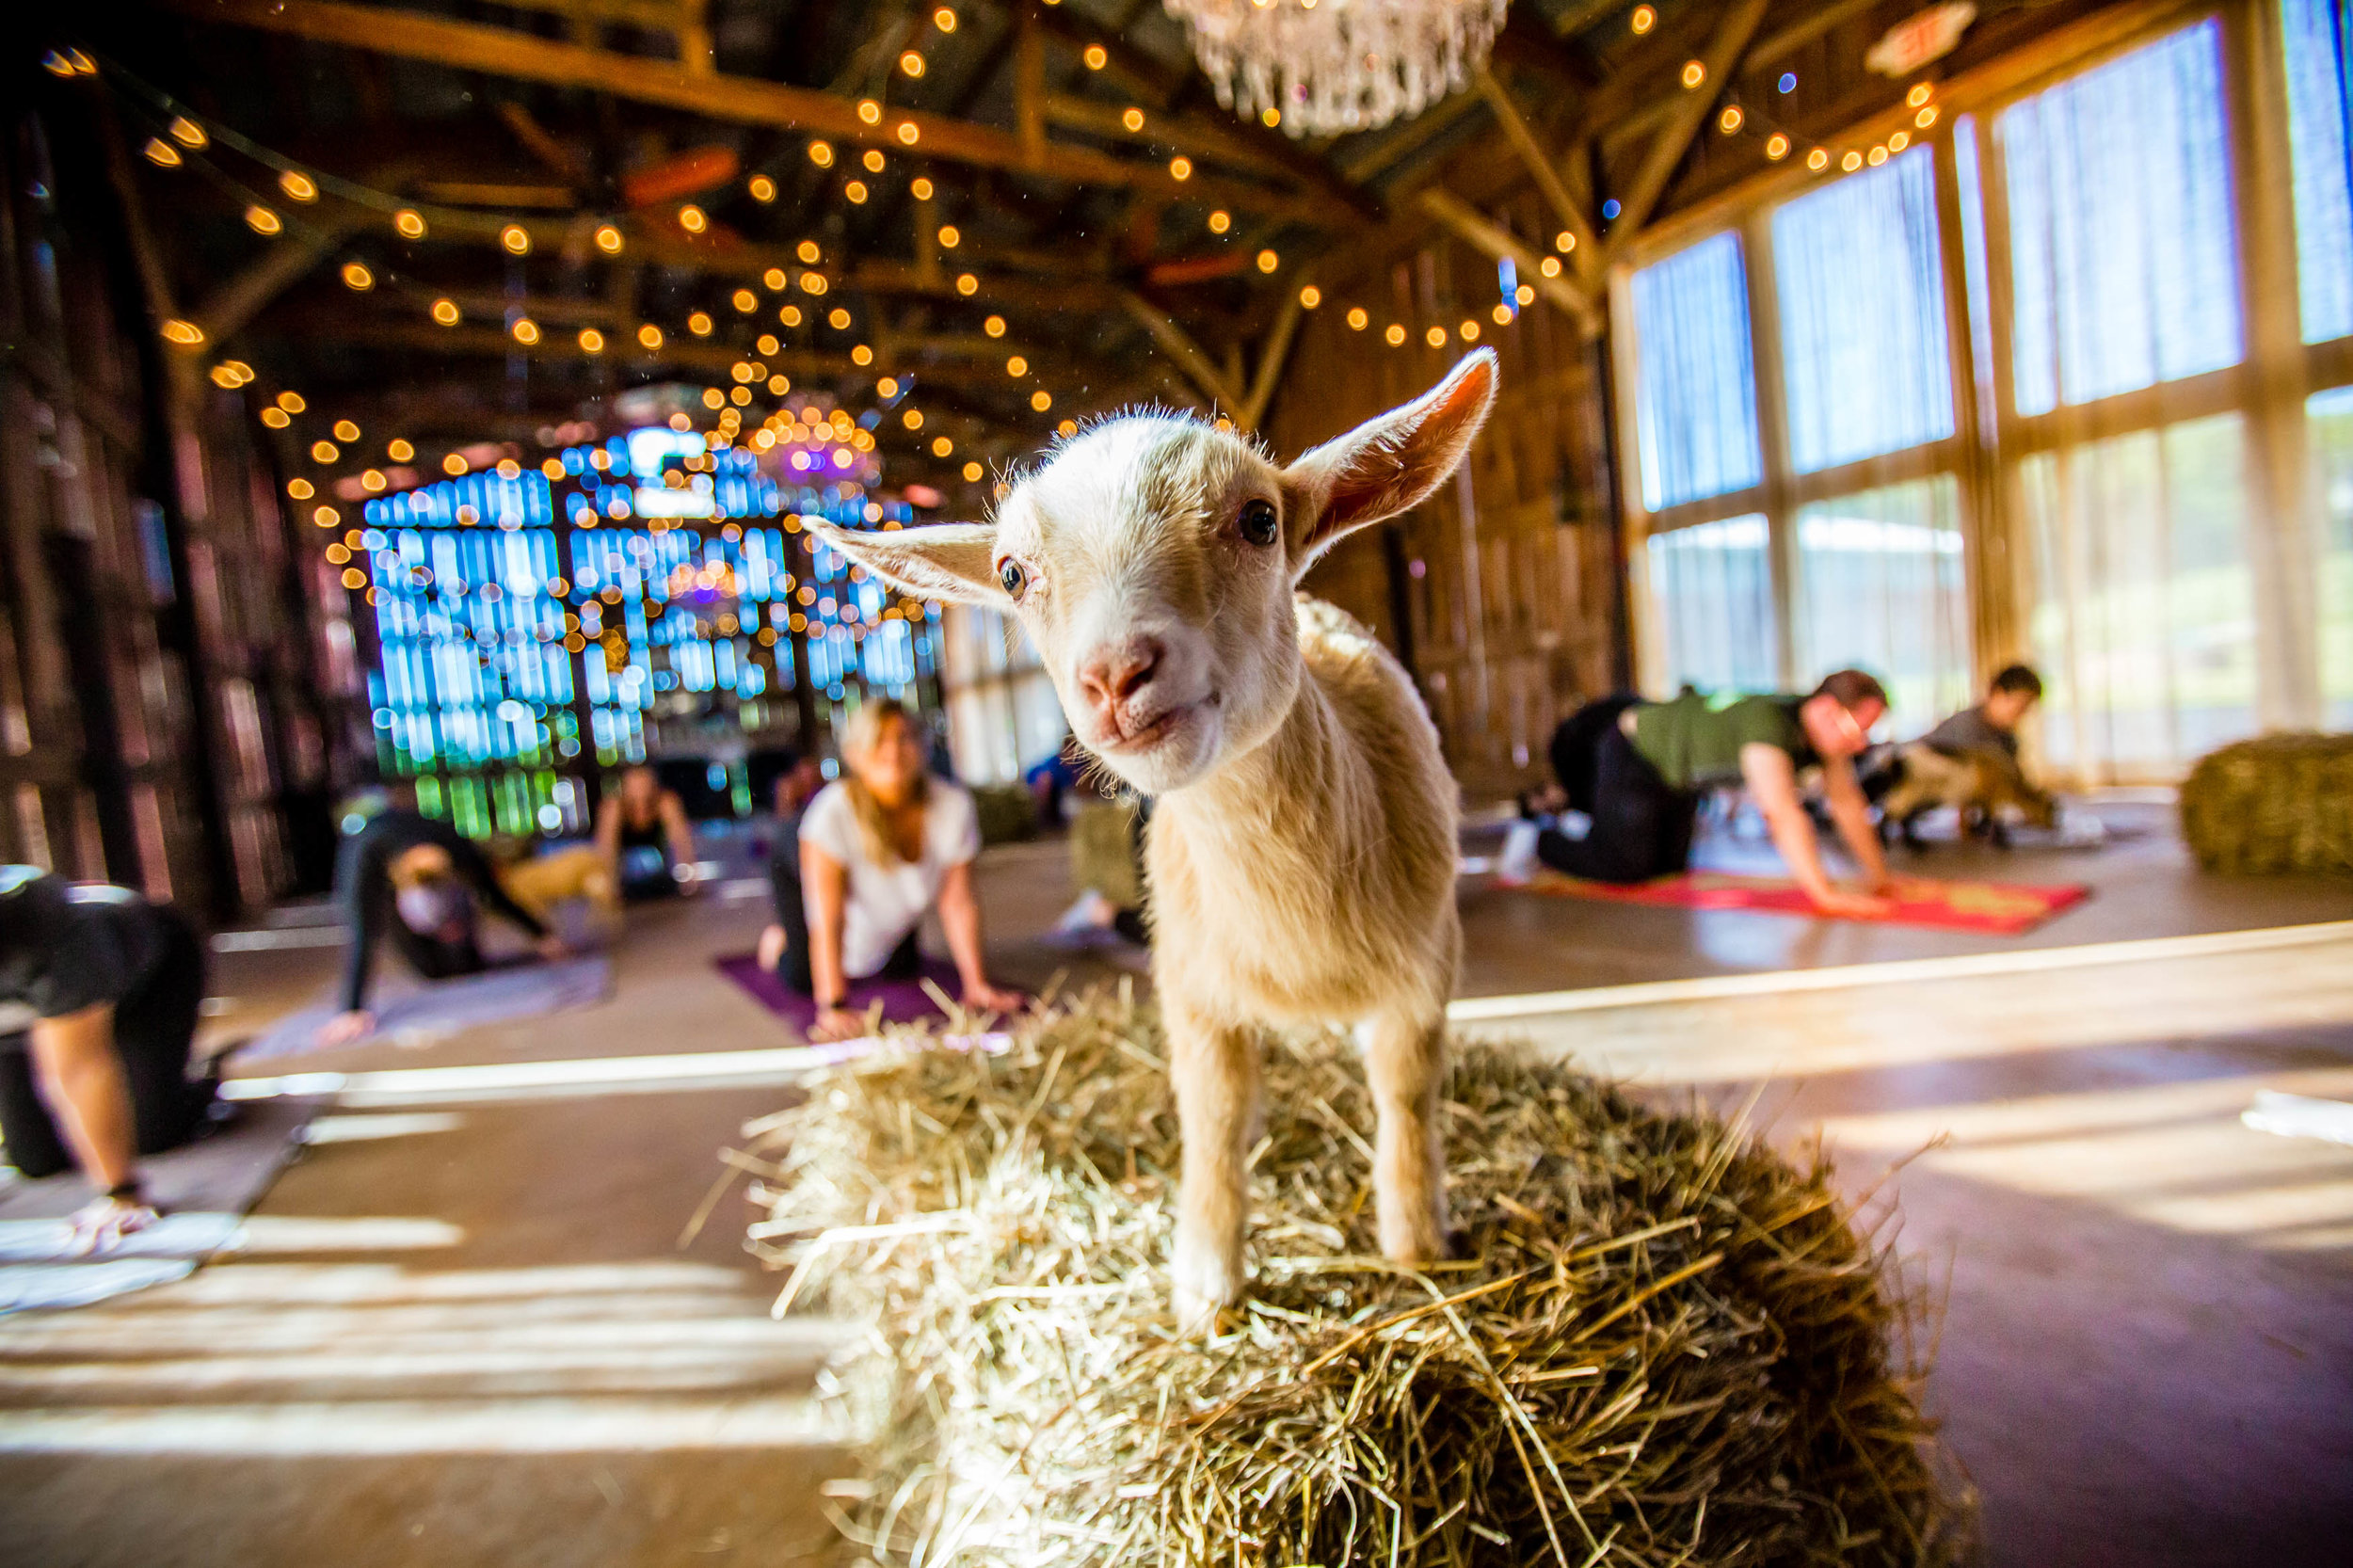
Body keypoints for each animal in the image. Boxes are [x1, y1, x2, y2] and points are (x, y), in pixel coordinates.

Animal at [811, 351, 1498, 1330]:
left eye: (1260, 521)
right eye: (1012, 573)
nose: (1115, 674)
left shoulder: (1424, 976)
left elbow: (1406, 1101)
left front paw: (1416, 1248)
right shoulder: (1191, 986)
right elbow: (1213, 1121)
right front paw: (1207, 1285)